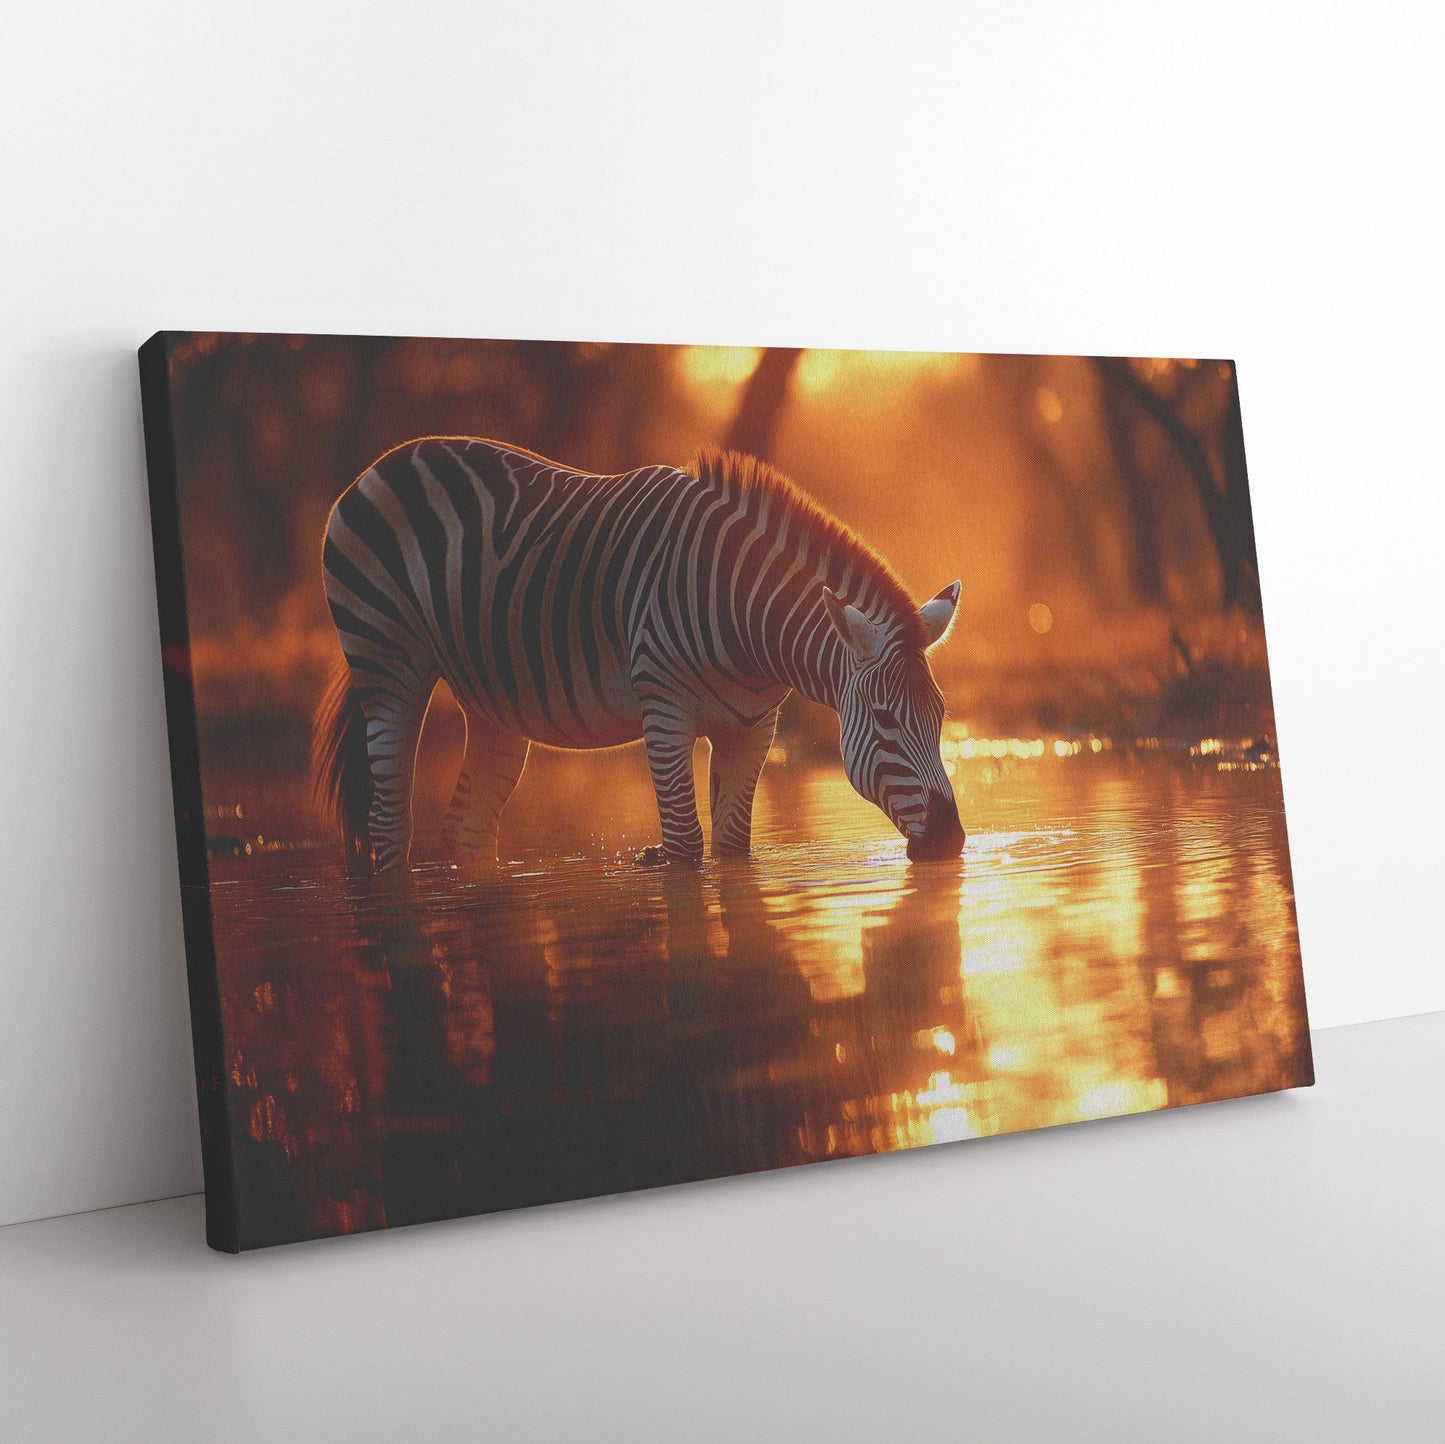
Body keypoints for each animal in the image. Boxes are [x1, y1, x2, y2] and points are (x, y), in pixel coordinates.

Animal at [313, 437, 966, 871]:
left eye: (941, 718)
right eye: (883, 719)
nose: (951, 842)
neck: (744, 620)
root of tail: (388, 458)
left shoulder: (753, 727)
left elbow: (733, 848)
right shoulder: (664, 713)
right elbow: (682, 848)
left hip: (491, 694)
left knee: (467, 828)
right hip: (386, 658)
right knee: (388, 824)